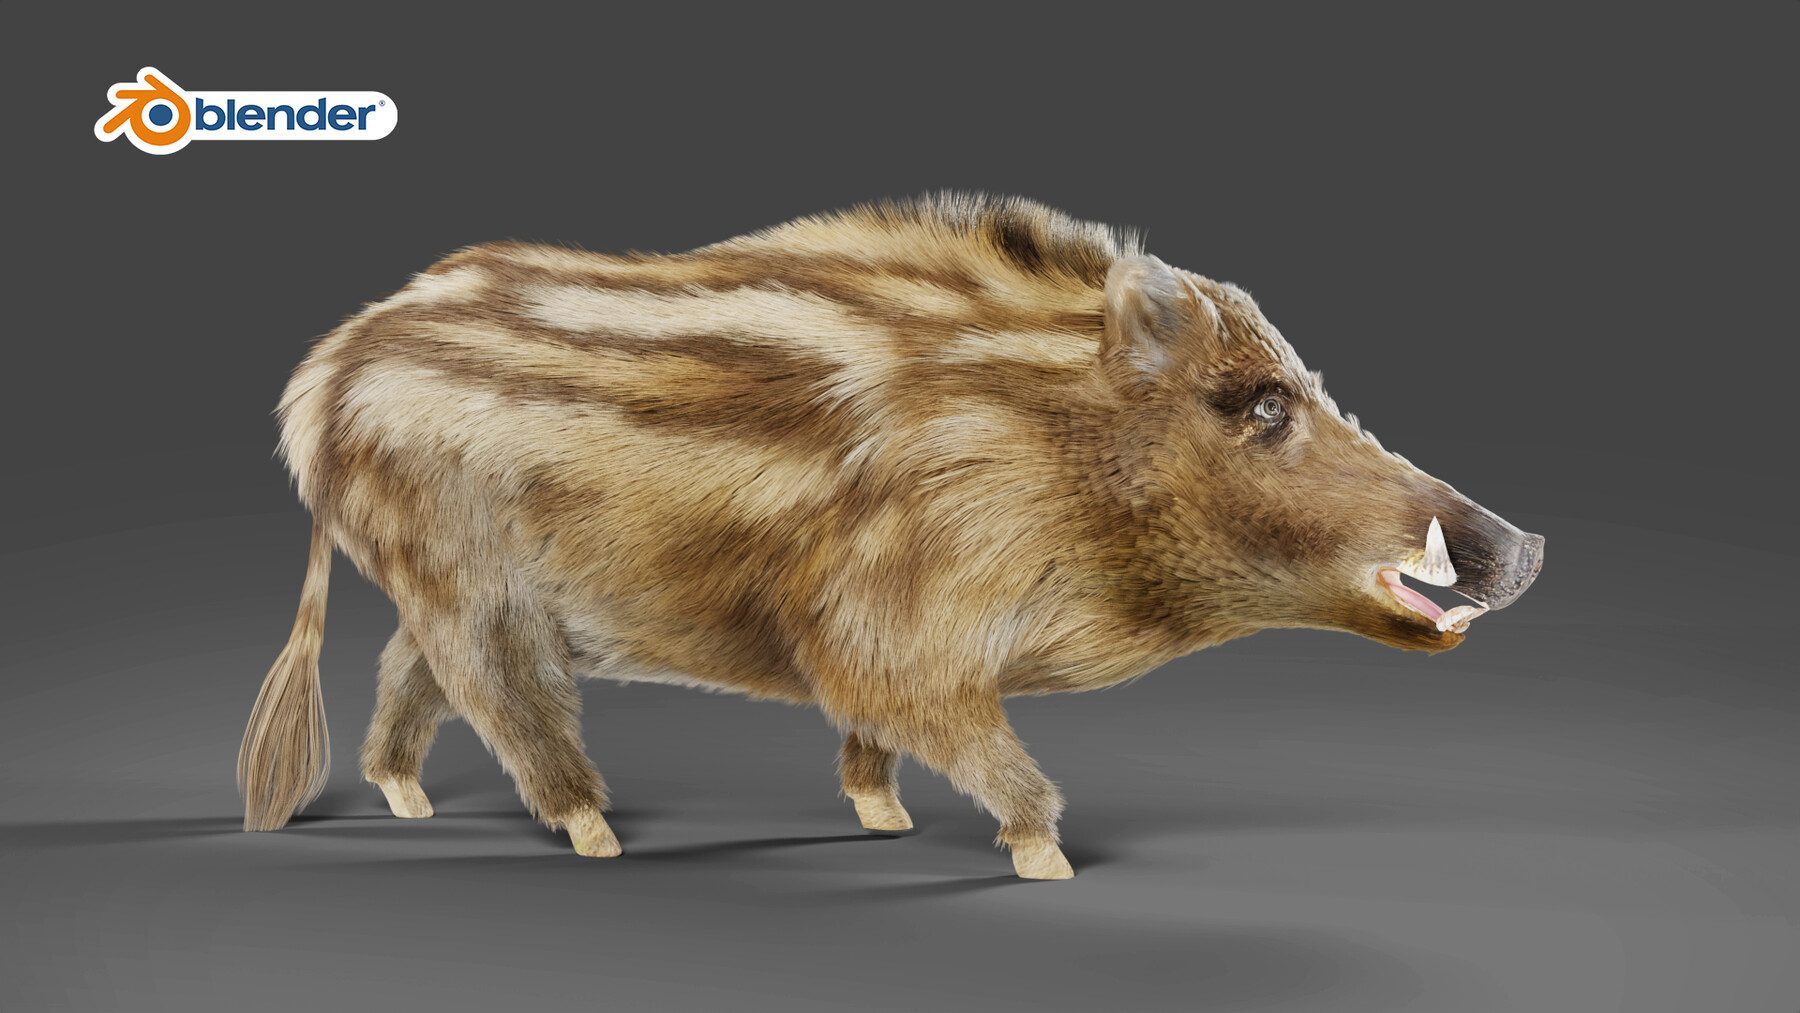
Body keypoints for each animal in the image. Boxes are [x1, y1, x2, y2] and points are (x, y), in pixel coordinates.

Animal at [239, 193, 1543, 878]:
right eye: (1265, 407)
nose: (1524, 545)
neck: (1055, 447)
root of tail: (328, 370)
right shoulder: (900, 626)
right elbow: (966, 738)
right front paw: (1048, 861)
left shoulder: (877, 642)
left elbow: (871, 735)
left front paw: (884, 818)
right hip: (472, 586)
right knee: (503, 697)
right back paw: (596, 835)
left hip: (440, 587)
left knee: (405, 673)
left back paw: (407, 801)